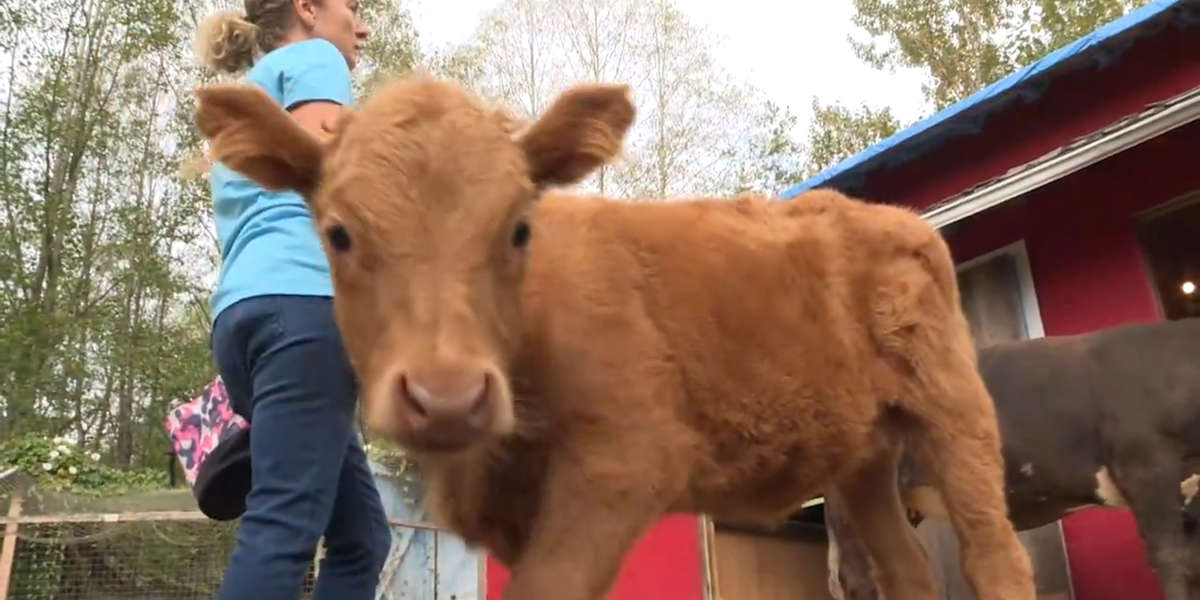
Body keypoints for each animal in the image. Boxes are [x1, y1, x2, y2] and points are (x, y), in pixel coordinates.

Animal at [192, 74, 1036, 600]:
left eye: (520, 227)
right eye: (338, 233)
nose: (448, 397)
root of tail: (886, 215)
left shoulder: (624, 459)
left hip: (955, 410)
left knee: (994, 553)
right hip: (861, 454)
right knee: (907, 569)